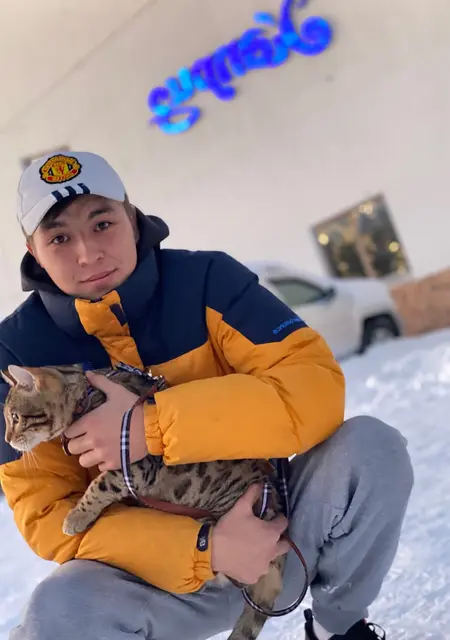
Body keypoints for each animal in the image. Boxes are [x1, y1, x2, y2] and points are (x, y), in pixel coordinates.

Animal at [2, 363, 289, 640]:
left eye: (15, 417)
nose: (7, 439)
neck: (86, 395)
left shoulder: (133, 463)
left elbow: (100, 484)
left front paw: (76, 517)